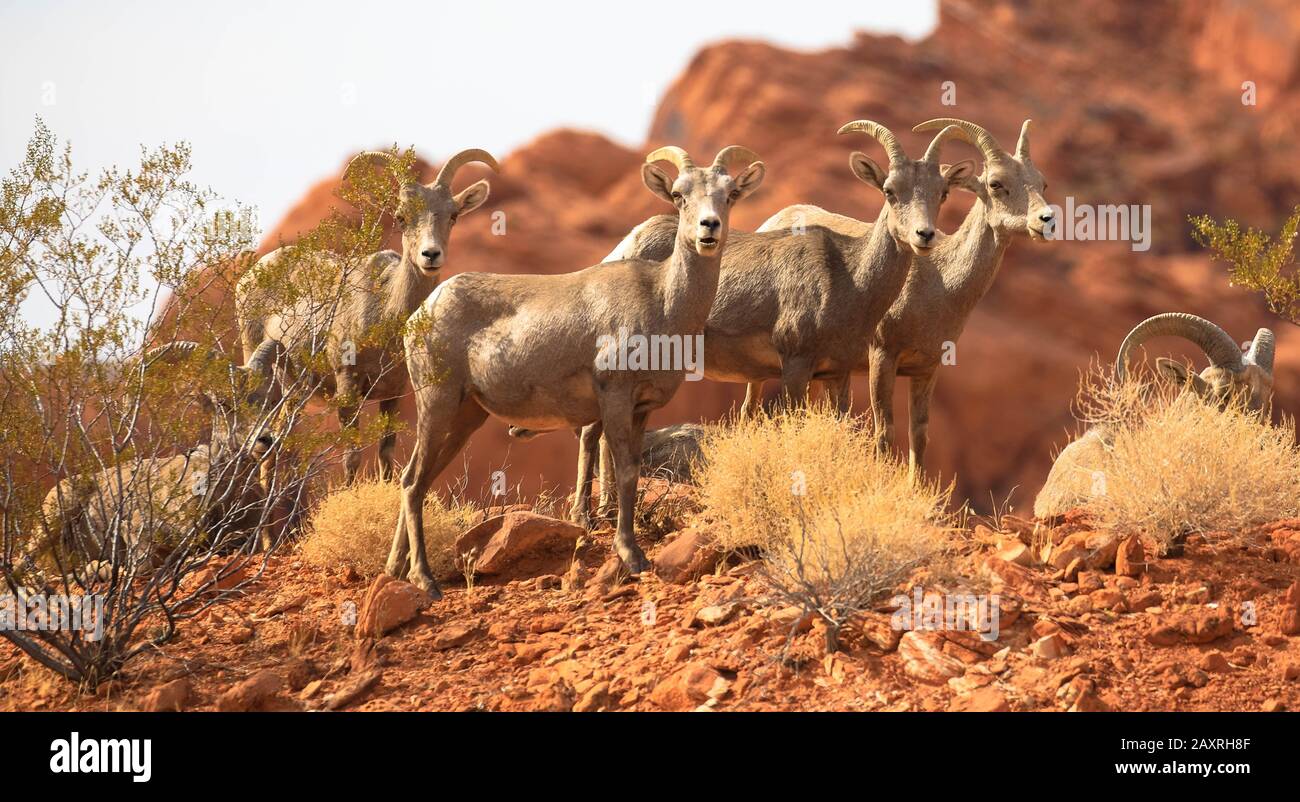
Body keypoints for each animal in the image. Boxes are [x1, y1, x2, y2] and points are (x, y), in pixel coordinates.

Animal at [236, 149, 497, 484]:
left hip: (292, 391)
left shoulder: (394, 393)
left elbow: (386, 453)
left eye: (453, 215)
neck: (386, 316)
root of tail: (250, 274)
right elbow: (352, 456)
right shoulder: (347, 384)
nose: (430, 255)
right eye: (401, 217)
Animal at [386, 146, 766, 594]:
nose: (709, 228)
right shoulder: (615, 398)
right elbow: (624, 471)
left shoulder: (641, 409)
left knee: (418, 478)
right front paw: (631, 555)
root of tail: (419, 316)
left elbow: (628, 470)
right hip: (437, 403)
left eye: (730, 194)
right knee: (413, 480)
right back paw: (424, 579)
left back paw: (395, 569)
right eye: (678, 194)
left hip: (466, 416)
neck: (663, 304)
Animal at [571, 121, 972, 524]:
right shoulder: (795, 366)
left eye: (942, 192)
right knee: (592, 432)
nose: (924, 235)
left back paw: (608, 509)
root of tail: (626, 246)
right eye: (889, 190)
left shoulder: (837, 374)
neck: (850, 278)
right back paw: (585, 515)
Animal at [758, 118, 1054, 475]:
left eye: (1041, 183)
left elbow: (919, 434)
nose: (1046, 221)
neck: (939, 287)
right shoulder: (882, 357)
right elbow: (884, 431)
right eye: (996, 184)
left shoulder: (927, 368)